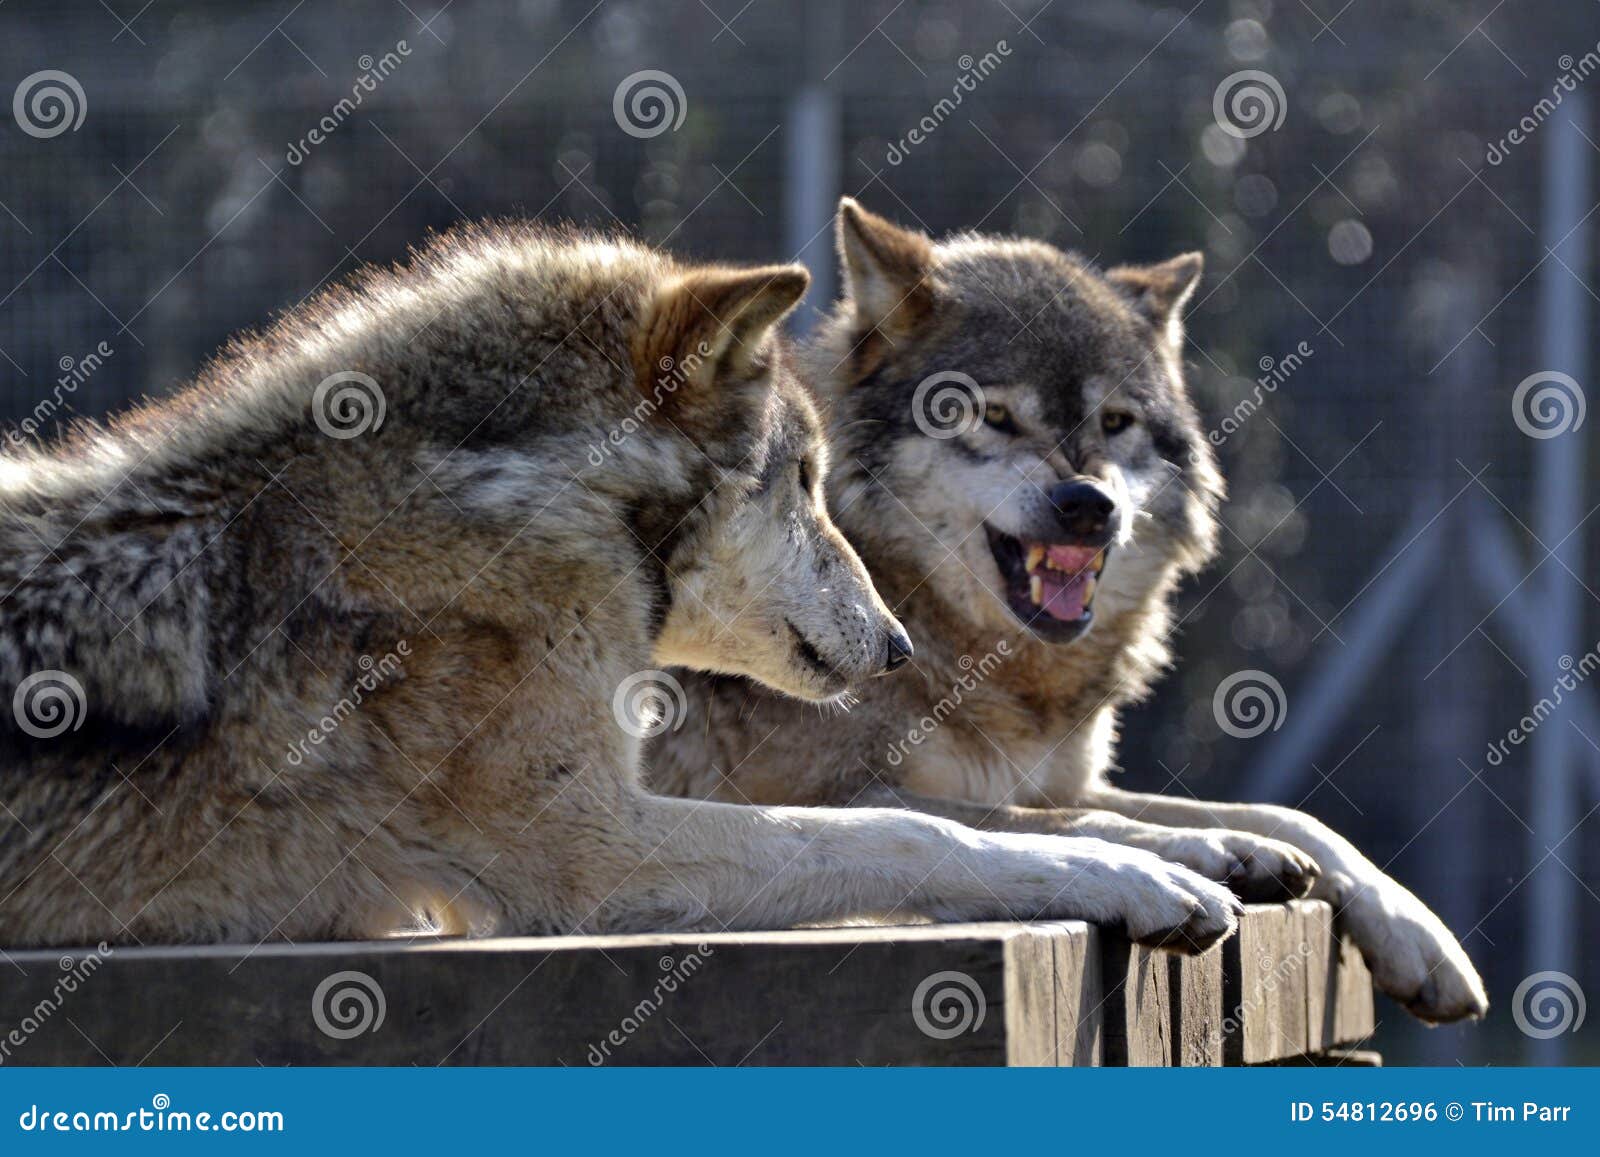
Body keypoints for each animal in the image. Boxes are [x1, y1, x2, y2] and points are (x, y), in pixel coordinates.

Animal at [0, 220, 1242, 950]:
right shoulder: (591, 846)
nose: (897, 649)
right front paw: (1123, 873)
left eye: (1113, 424)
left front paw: (1212, 846)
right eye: (802, 481)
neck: (533, 501)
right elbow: (912, 830)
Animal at [648, 200, 1488, 1023]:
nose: (1088, 504)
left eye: (1116, 422)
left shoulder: (1056, 777)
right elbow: (1061, 825)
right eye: (991, 416)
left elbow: (1280, 813)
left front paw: (1413, 929)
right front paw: (1211, 851)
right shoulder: (803, 794)